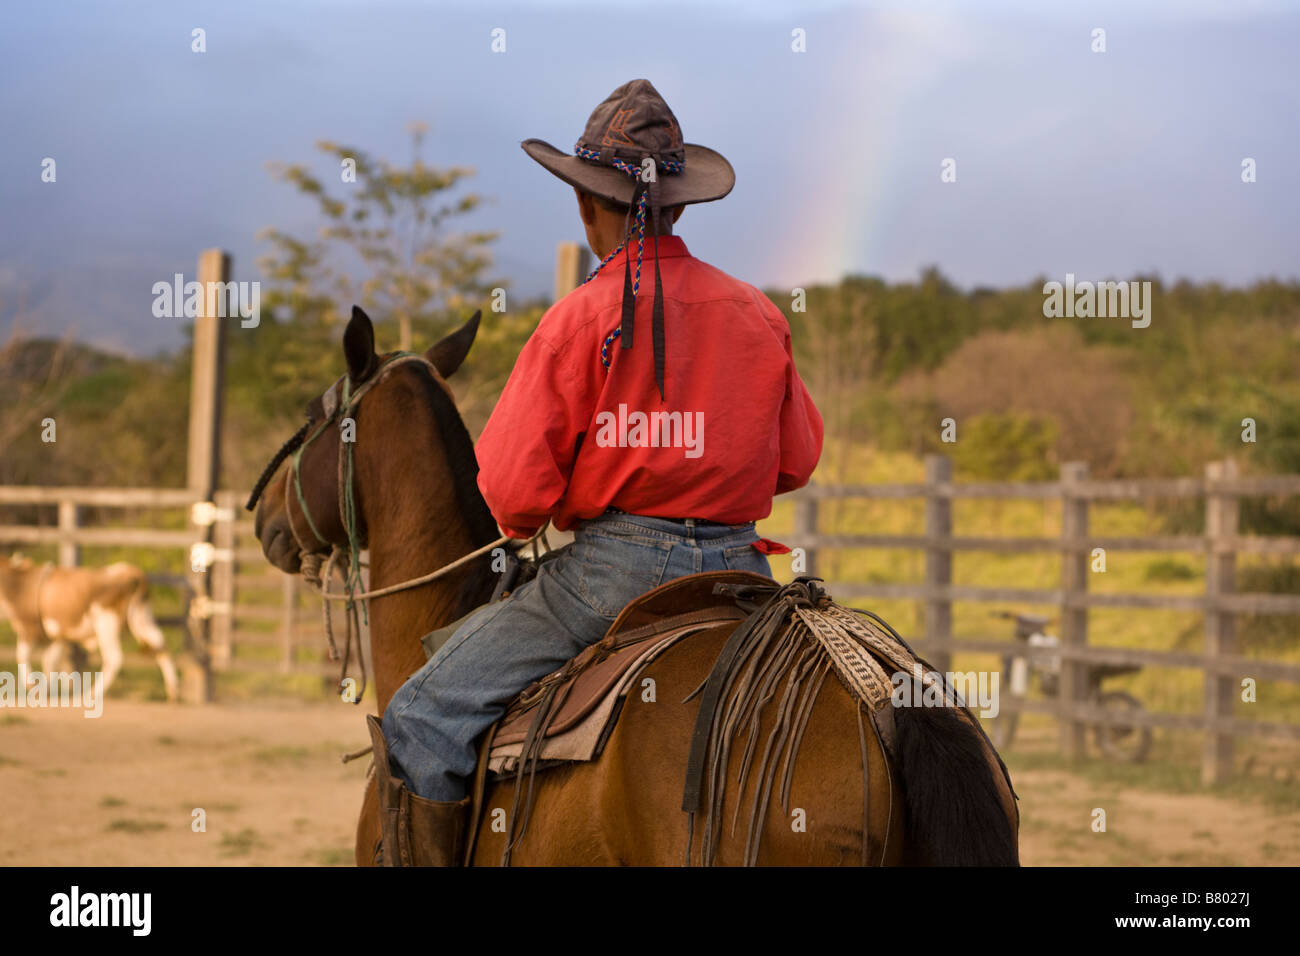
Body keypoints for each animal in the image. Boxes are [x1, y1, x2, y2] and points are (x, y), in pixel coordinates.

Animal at [0, 554, 180, 703]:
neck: (19, 583)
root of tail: (132, 572)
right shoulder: (58, 637)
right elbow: (49, 662)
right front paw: (41, 691)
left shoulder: (29, 627)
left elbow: (22, 655)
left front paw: (31, 685)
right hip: (141, 618)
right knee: (161, 647)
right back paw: (172, 693)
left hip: (106, 622)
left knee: (114, 658)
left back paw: (91, 694)